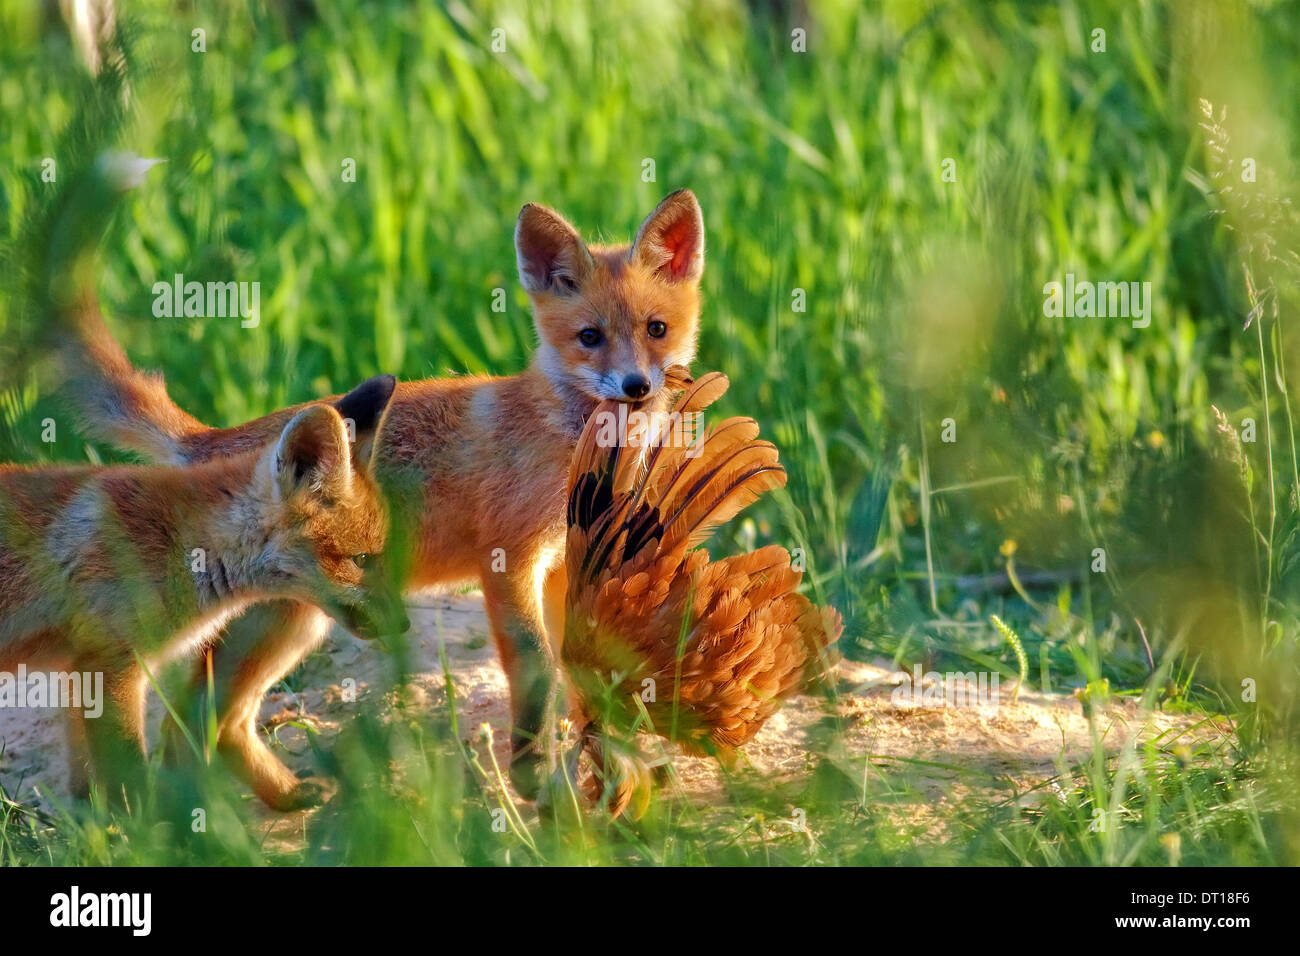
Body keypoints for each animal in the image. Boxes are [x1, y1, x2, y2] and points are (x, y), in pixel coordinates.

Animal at [0, 387, 408, 803]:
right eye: (362, 560)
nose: (405, 623)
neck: (181, 542)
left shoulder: (79, 667)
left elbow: (88, 785)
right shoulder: (110, 664)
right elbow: (129, 776)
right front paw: (149, 822)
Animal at [53, 180, 706, 808]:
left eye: (656, 329)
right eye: (589, 337)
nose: (636, 386)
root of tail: (212, 440)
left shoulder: (563, 564)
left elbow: (582, 667)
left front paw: (612, 759)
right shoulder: (509, 561)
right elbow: (539, 667)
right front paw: (534, 777)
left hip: (298, 624)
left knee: (220, 722)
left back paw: (273, 800)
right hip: (283, 619)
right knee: (189, 722)